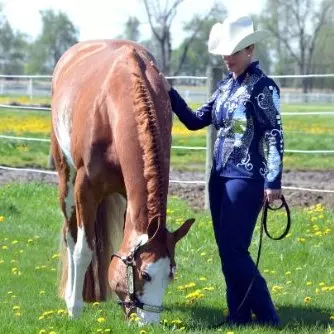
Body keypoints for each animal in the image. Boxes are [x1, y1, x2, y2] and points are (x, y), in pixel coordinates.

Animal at [51, 39, 194, 324]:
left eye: (170, 275)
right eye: (145, 274)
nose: (150, 323)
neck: (111, 108)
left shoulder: (132, 197)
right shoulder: (85, 191)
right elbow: (83, 250)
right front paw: (75, 308)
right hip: (66, 183)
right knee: (70, 237)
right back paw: (71, 296)